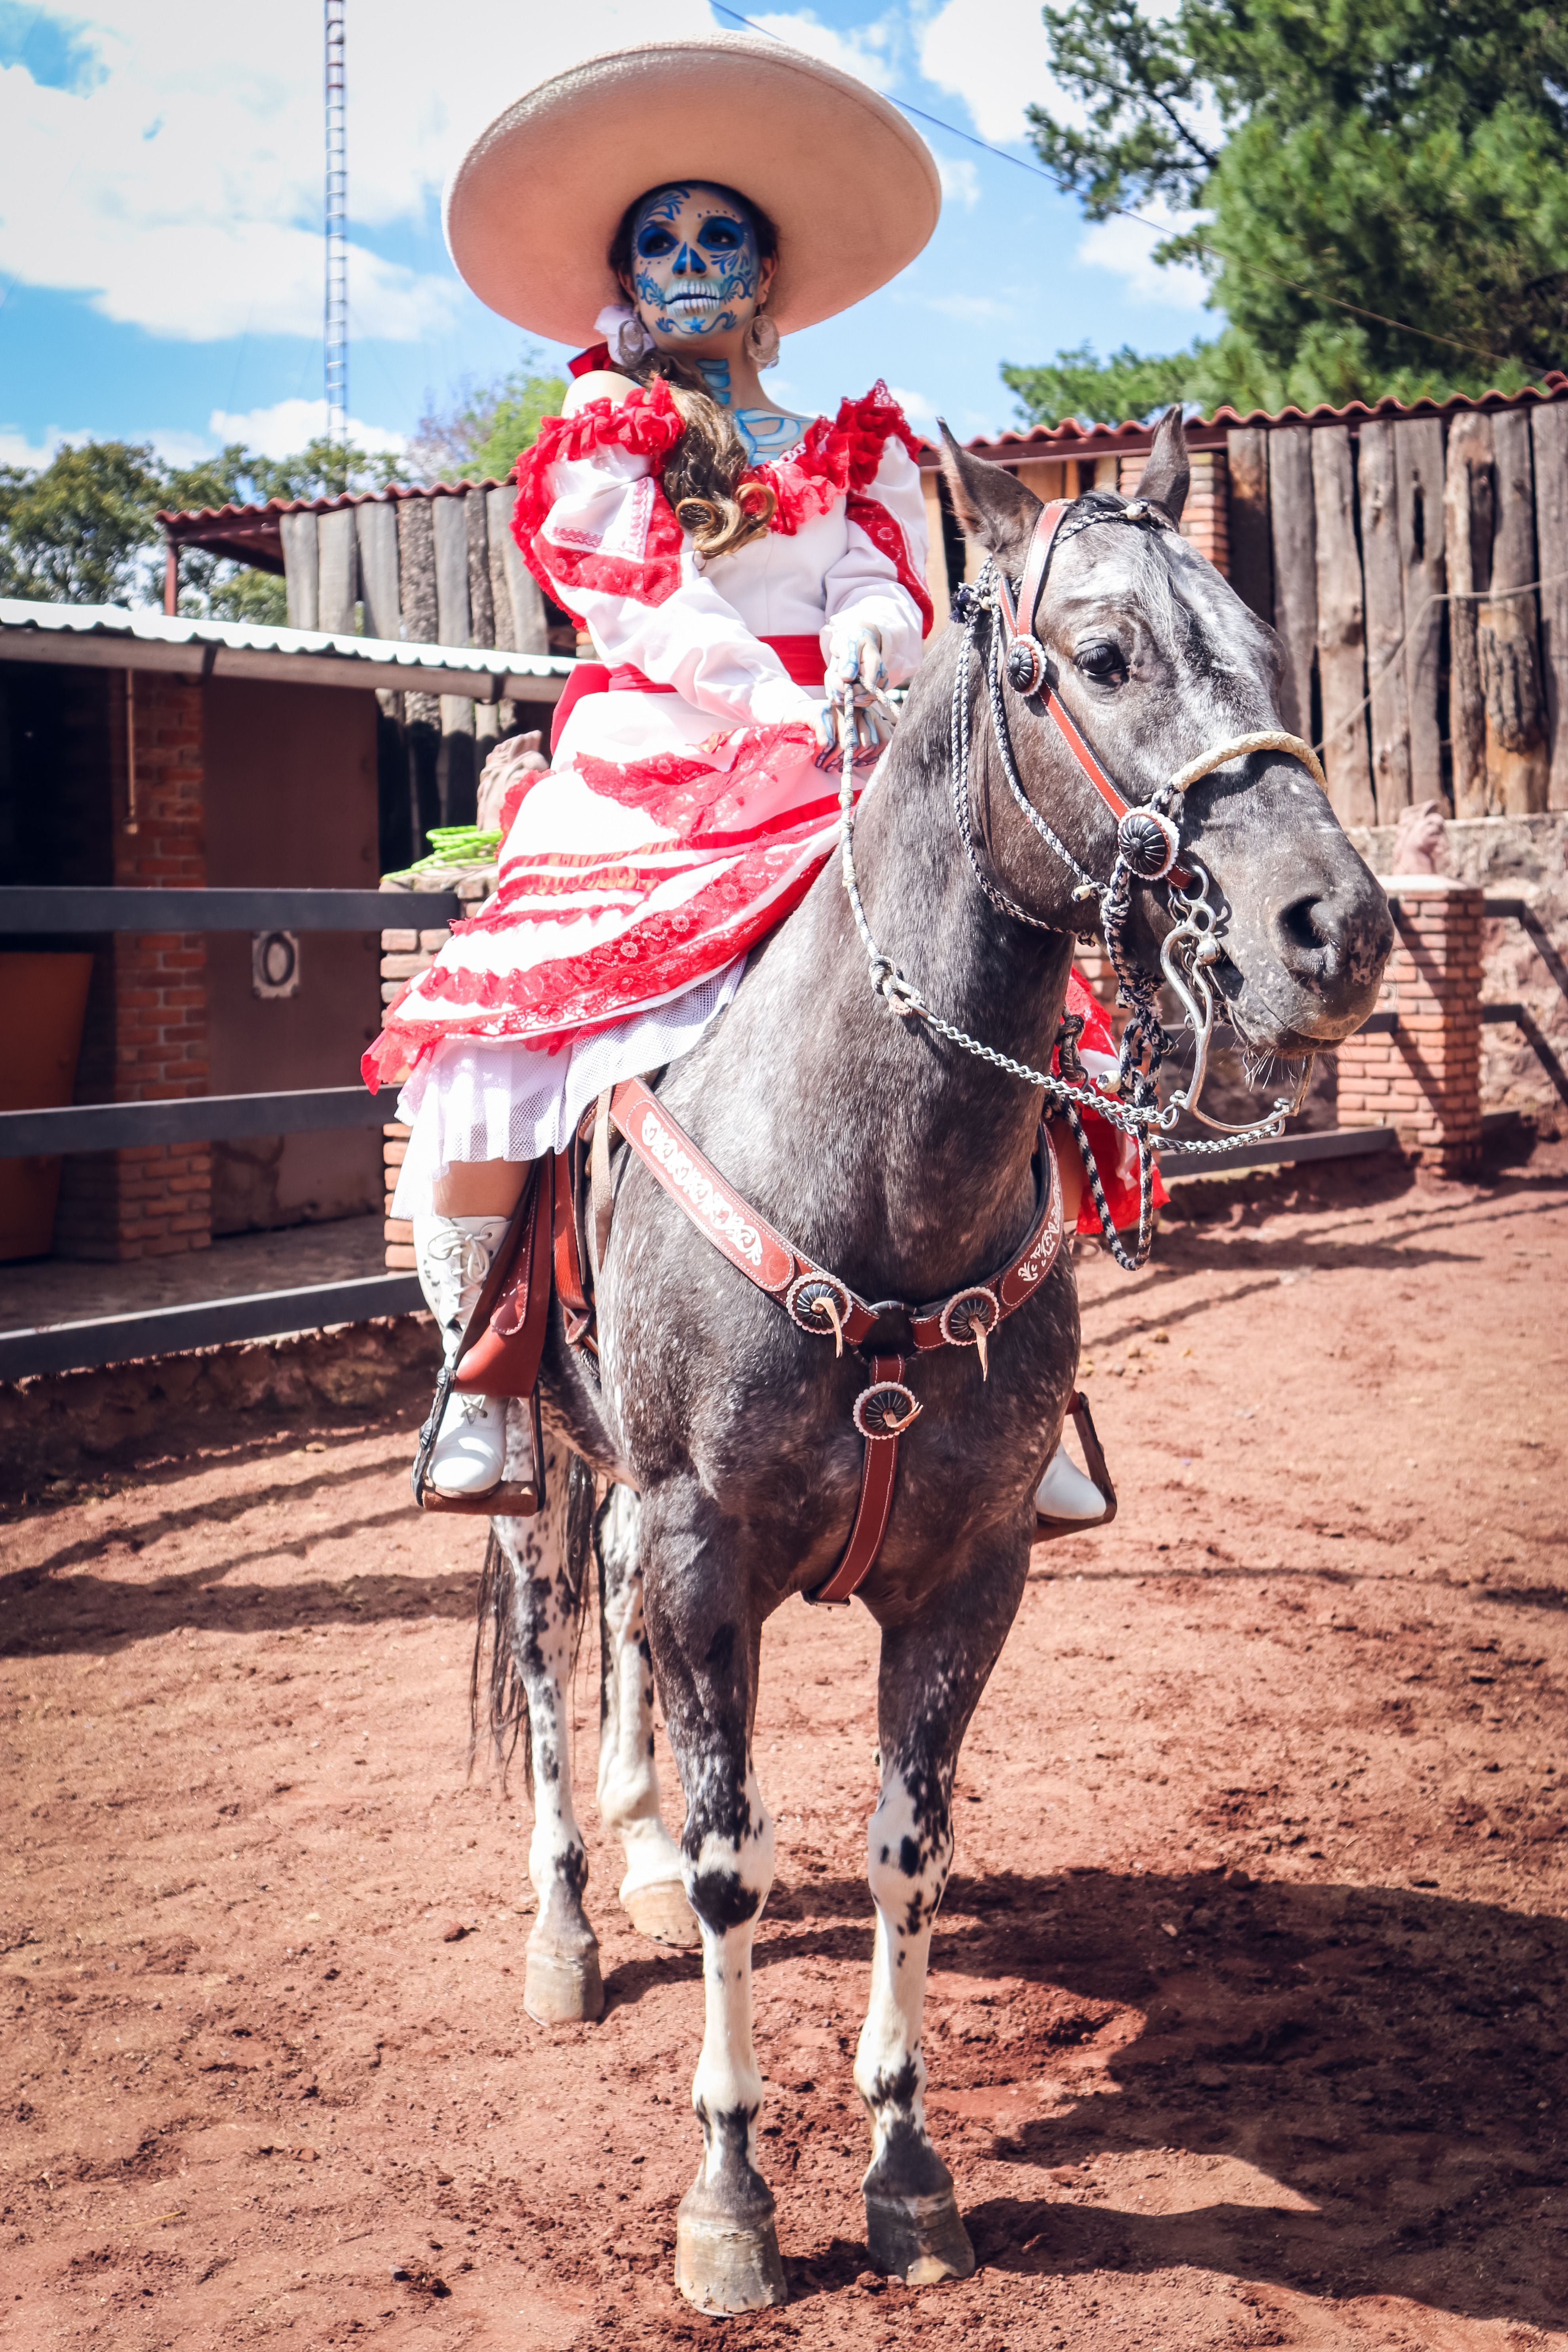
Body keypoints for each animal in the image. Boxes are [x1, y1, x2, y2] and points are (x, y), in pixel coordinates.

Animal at [470, 410, 1395, 2313]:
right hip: (531, 1455)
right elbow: (741, 1874)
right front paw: (730, 2196)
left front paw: (905, 2166)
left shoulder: (968, 1575)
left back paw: (630, 1843)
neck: (873, 1176)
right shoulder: (709, 1558)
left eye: (1274, 657)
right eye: (1101, 656)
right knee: (540, 1644)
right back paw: (569, 1920)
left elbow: (908, 1851)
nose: (1334, 933)